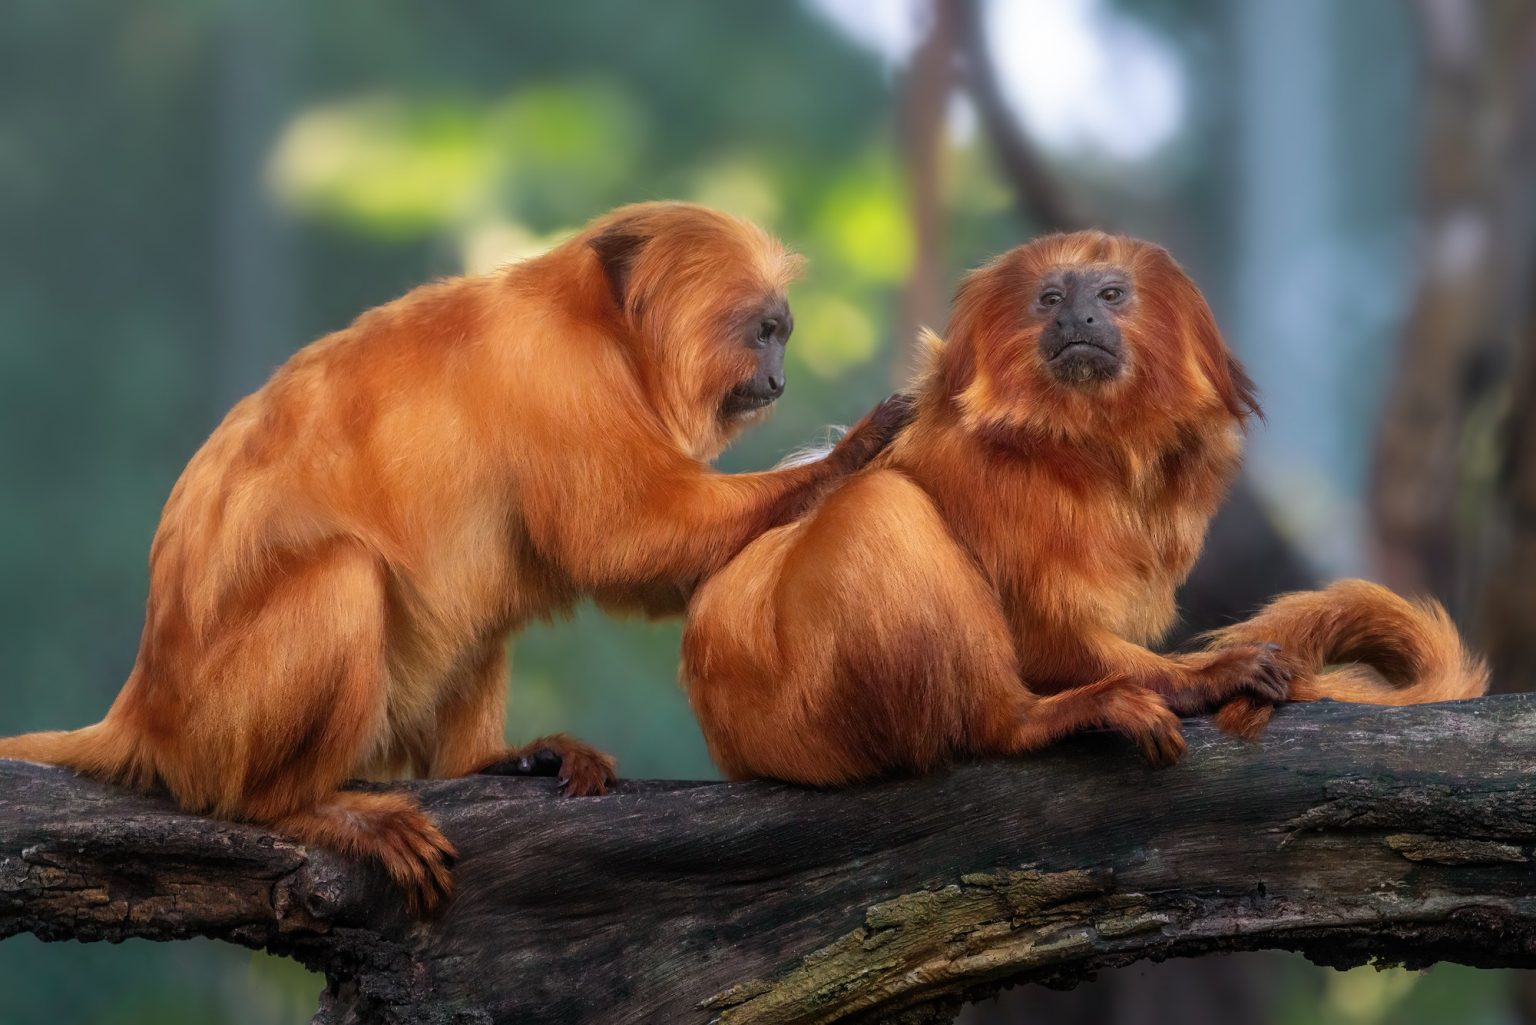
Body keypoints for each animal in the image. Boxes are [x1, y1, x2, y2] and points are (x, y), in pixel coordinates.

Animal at [0, 202, 913, 911]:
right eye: (766, 333)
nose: (781, 379)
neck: (607, 329)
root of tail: (145, 706)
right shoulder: (561, 378)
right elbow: (623, 539)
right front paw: (849, 456)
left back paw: (493, 761)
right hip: (219, 717)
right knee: (344, 577)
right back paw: (297, 806)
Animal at [681, 231, 1485, 787]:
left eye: (1109, 295)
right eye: (1049, 298)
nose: (1076, 319)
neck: (1080, 451)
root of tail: (726, 735)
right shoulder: (973, 470)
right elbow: (1043, 633)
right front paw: (1201, 679)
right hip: (802, 713)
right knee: (884, 507)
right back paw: (1031, 720)